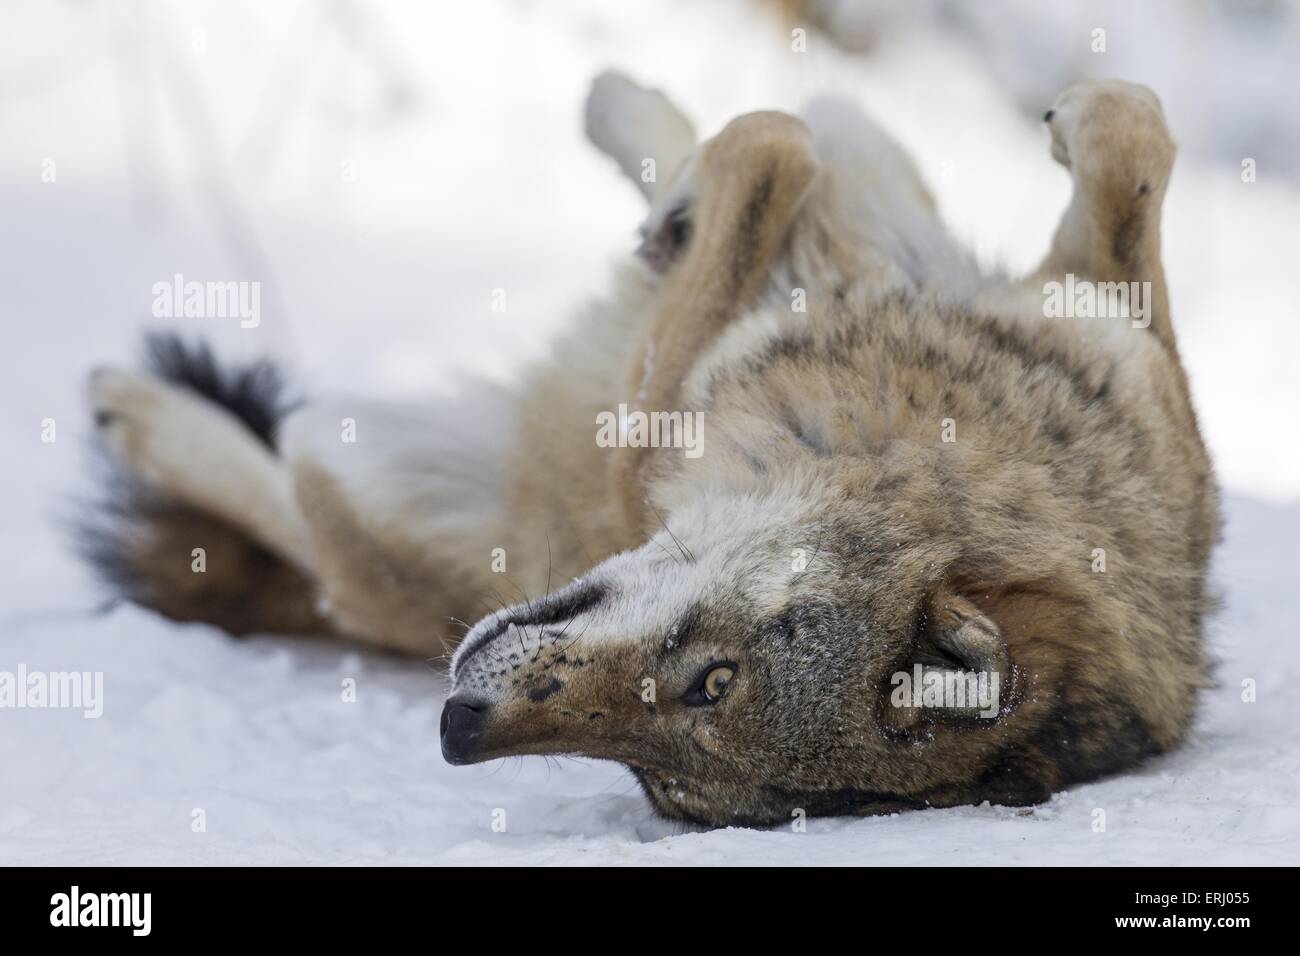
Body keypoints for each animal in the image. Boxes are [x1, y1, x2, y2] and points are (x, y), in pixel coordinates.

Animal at [81, 73, 1218, 827]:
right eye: (713, 679)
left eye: (697, 709)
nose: (461, 728)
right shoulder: (1117, 342)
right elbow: (1132, 136)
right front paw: (641, 135)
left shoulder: (644, 424)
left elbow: (764, 149)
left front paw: (680, 184)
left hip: (359, 476)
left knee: (303, 530)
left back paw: (129, 407)